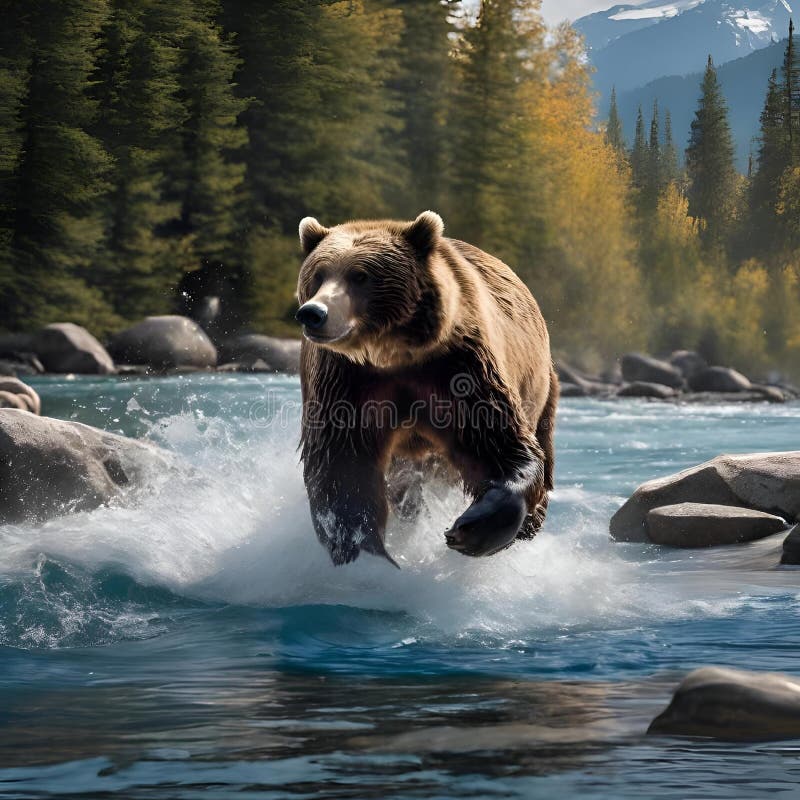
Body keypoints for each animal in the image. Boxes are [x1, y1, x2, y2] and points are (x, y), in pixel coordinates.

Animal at [295, 211, 558, 566]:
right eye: (318, 274)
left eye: (360, 275)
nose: (313, 313)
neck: (391, 355)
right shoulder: (345, 379)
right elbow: (342, 463)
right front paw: (363, 549)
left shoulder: (457, 367)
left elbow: (499, 444)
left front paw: (468, 529)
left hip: (542, 388)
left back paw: (528, 526)